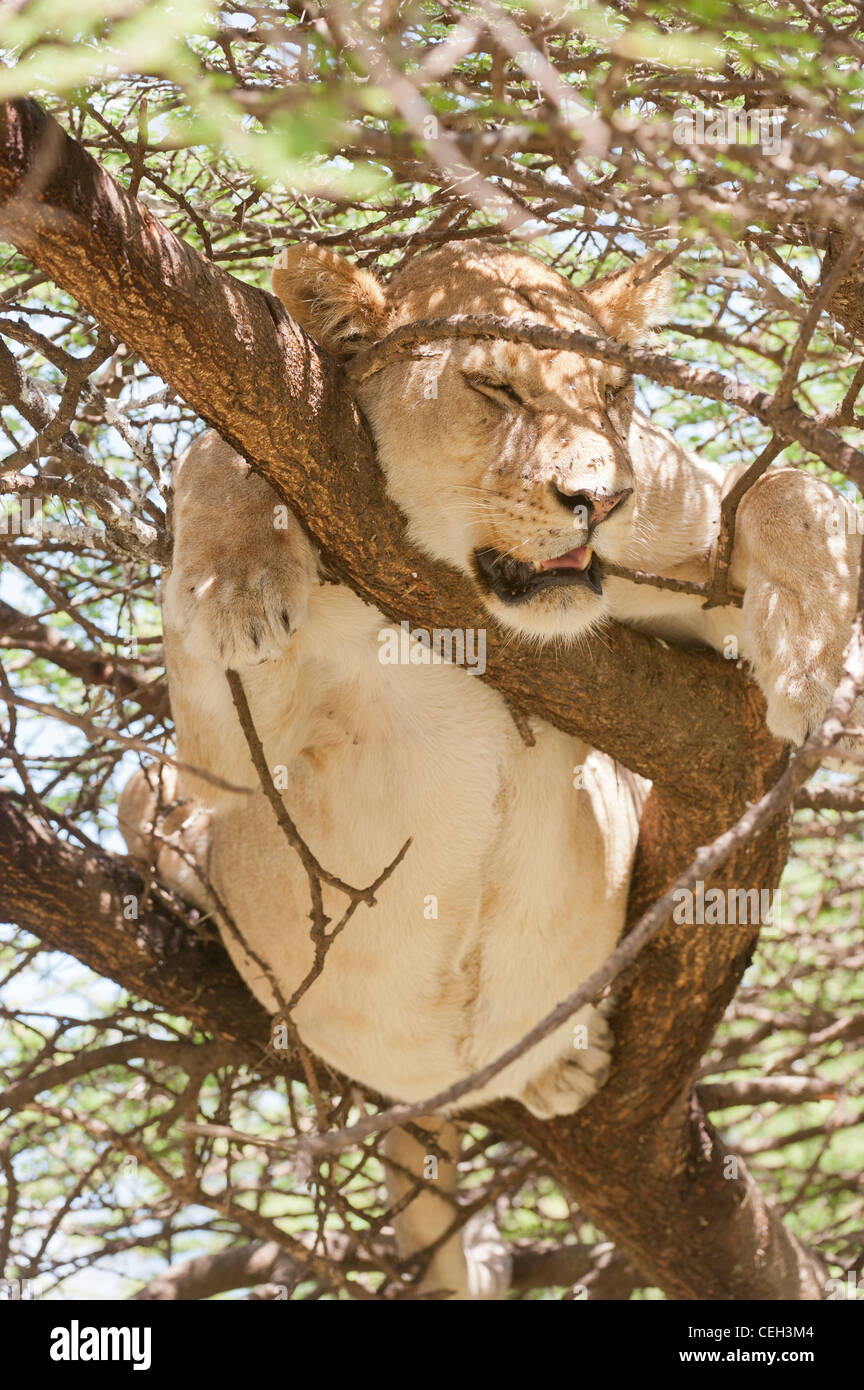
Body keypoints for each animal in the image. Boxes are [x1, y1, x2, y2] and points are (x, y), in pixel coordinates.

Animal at [119, 240, 862, 1298]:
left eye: (614, 392)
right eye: (495, 388)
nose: (602, 498)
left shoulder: (679, 549)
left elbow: (794, 490)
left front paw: (814, 661)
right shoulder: (220, 762)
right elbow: (220, 446)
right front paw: (237, 583)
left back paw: (560, 1063)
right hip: (148, 792)